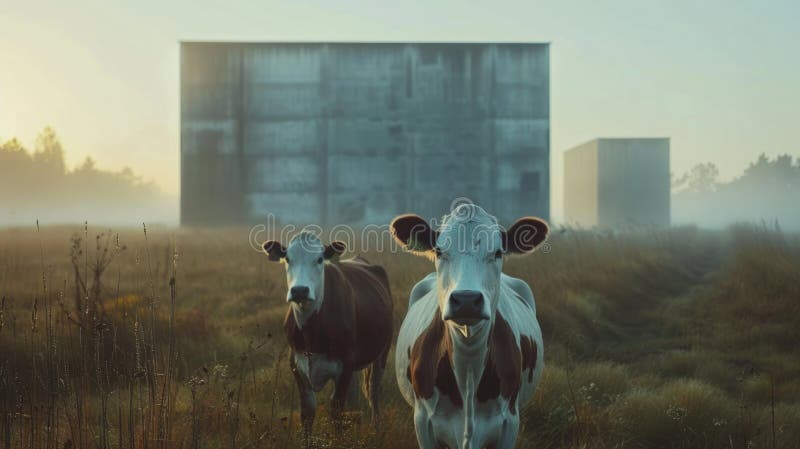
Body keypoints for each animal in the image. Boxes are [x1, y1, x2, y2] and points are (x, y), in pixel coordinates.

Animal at [262, 232, 394, 433]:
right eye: (288, 259)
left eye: (319, 259)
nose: (299, 290)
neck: (312, 333)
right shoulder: (296, 364)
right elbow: (307, 413)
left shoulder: (345, 364)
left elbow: (336, 411)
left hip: (383, 349)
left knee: (373, 390)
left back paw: (376, 428)